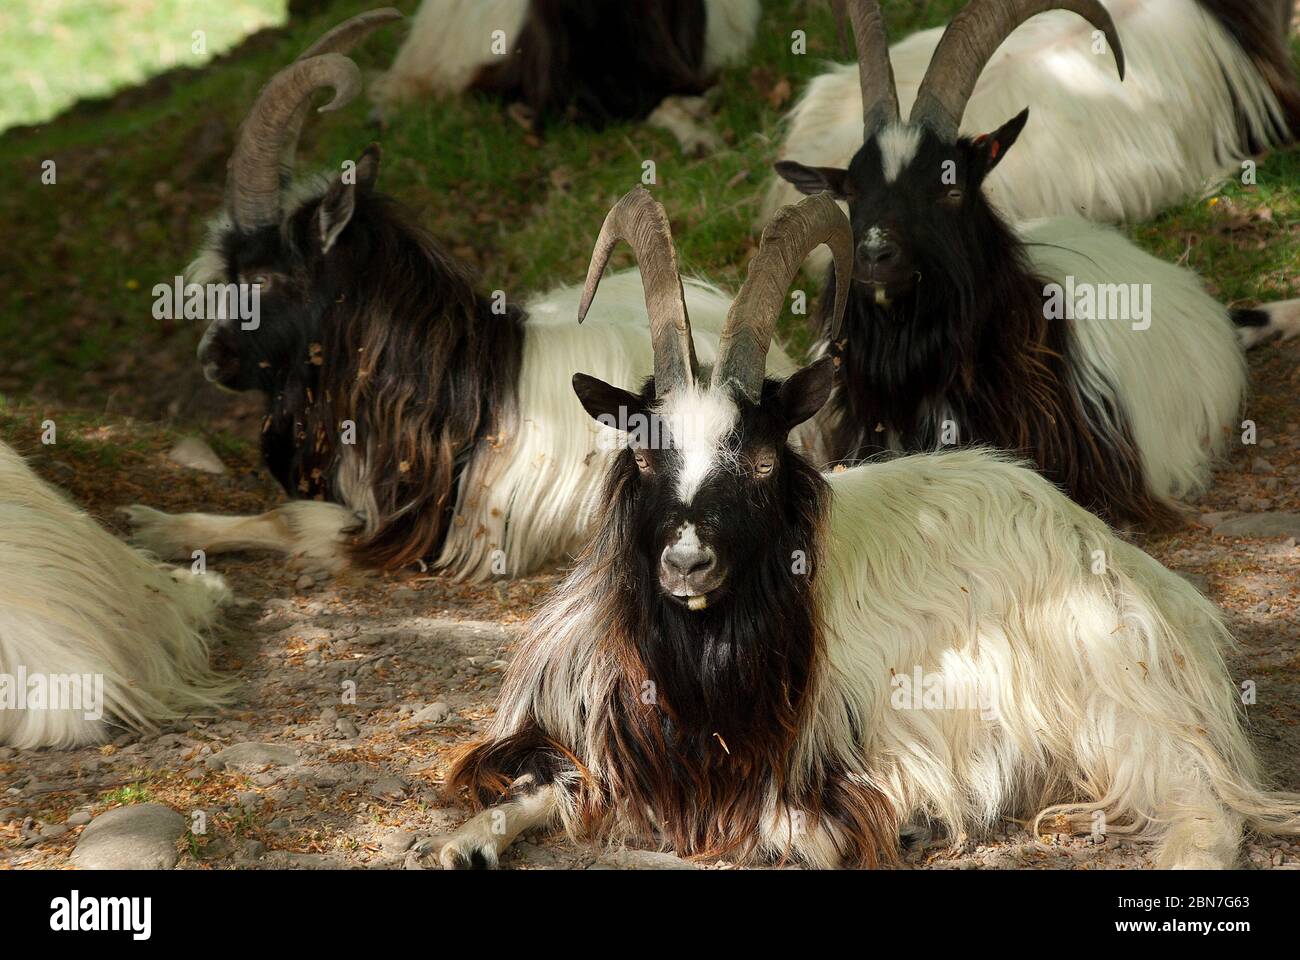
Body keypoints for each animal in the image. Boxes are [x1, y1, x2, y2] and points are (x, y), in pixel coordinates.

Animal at [441, 189, 1300, 870]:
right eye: (647, 455)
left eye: (762, 459)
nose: (687, 563)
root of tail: (1109, 551)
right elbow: (544, 781)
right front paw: (465, 843)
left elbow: (795, 830)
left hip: (1109, 689)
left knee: (1201, 801)